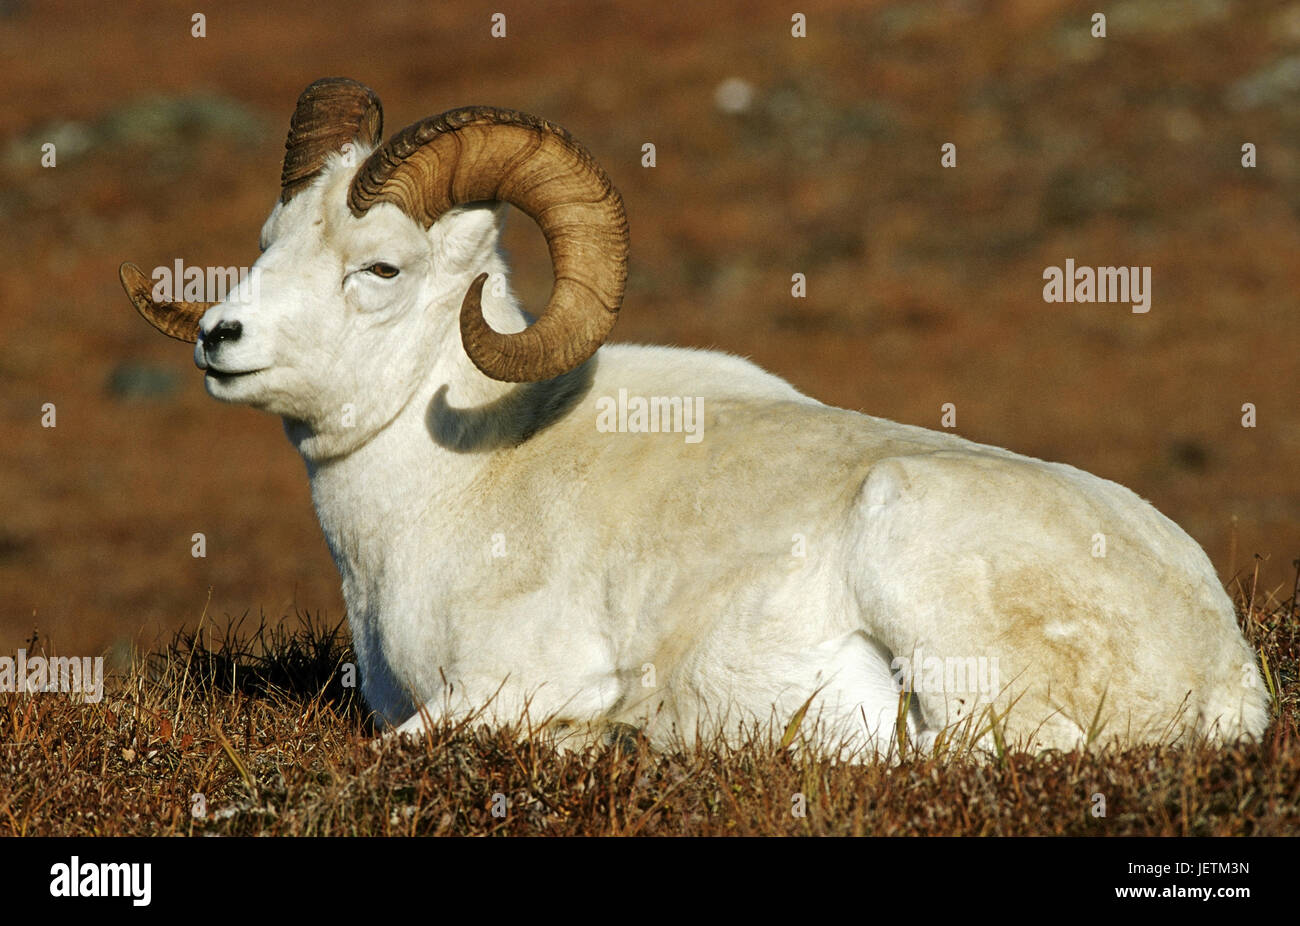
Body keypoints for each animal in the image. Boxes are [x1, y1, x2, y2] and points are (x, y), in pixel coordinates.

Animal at [119, 77, 1269, 759]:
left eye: (381, 269)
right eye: (268, 239)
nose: (219, 337)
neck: (452, 486)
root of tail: (1222, 670)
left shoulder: (518, 678)